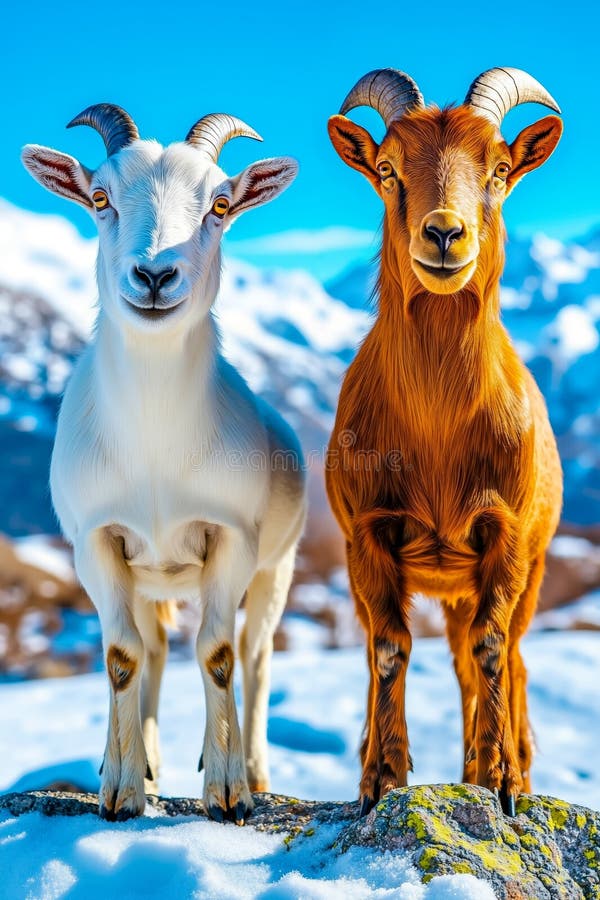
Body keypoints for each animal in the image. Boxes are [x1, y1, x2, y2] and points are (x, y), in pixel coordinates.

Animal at [22, 105, 306, 823]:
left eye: (221, 204)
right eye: (99, 198)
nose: (154, 277)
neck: (154, 446)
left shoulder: (232, 541)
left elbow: (219, 655)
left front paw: (227, 793)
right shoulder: (97, 544)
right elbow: (122, 658)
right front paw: (121, 793)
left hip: (277, 568)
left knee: (257, 654)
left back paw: (254, 769)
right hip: (147, 578)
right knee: (148, 653)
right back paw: (140, 766)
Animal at [326, 68, 563, 817]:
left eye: (499, 169)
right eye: (387, 168)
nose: (444, 234)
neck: (437, 436)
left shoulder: (506, 536)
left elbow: (491, 650)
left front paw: (499, 783)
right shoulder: (367, 536)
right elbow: (388, 648)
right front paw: (381, 780)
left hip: (529, 571)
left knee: (506, 657)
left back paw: (509, 769)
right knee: (442, 658)